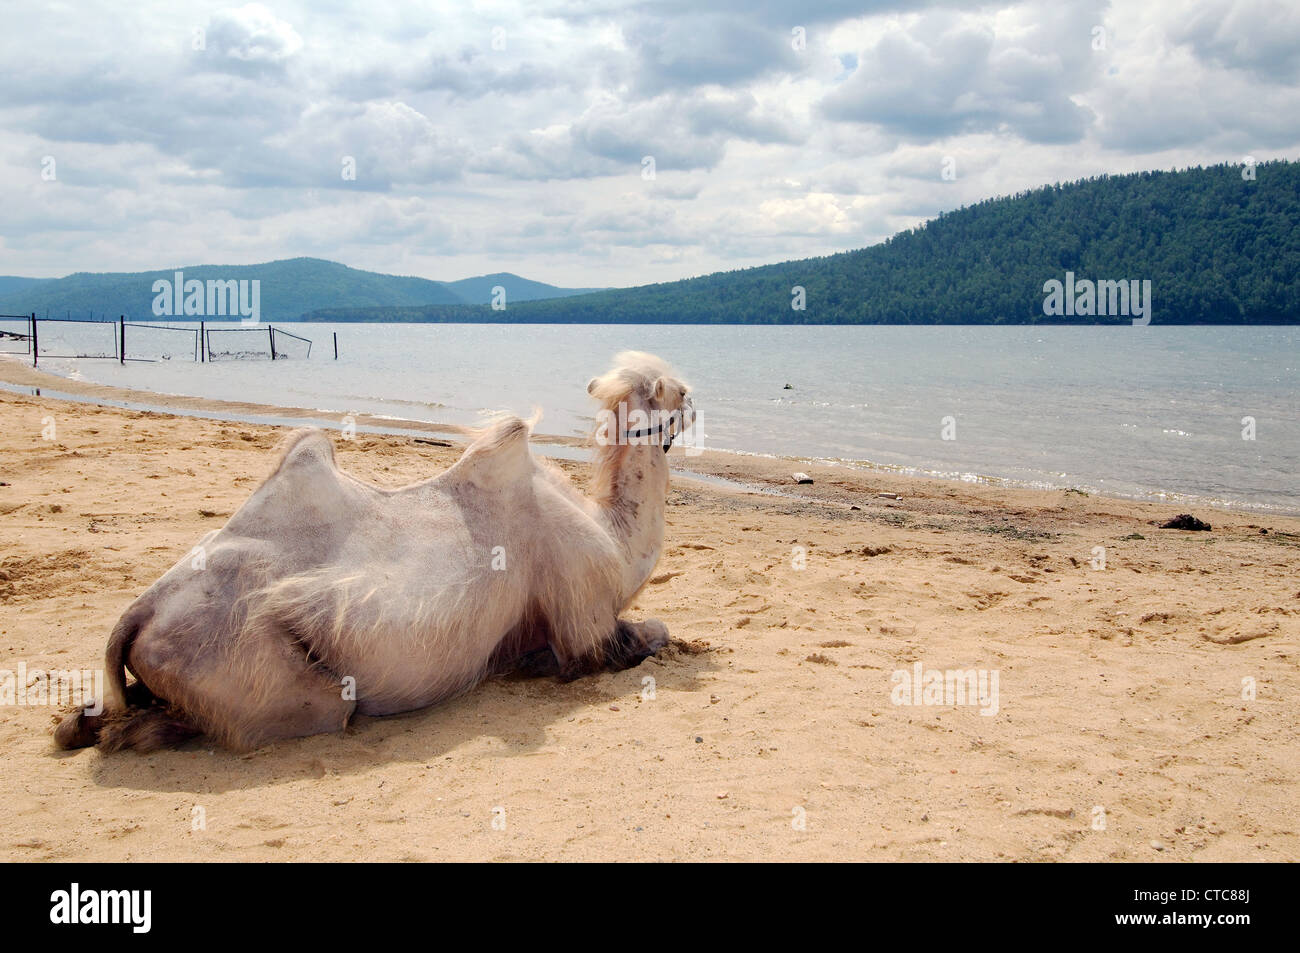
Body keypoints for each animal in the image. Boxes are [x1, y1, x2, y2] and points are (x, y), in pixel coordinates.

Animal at [54, 351, 694, 753]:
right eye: (678, 392)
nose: (693, 406)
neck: (613, 540)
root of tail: (139, 613)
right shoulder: (583, 616)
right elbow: (642, 636)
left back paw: (79, 722)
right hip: (273, 677)